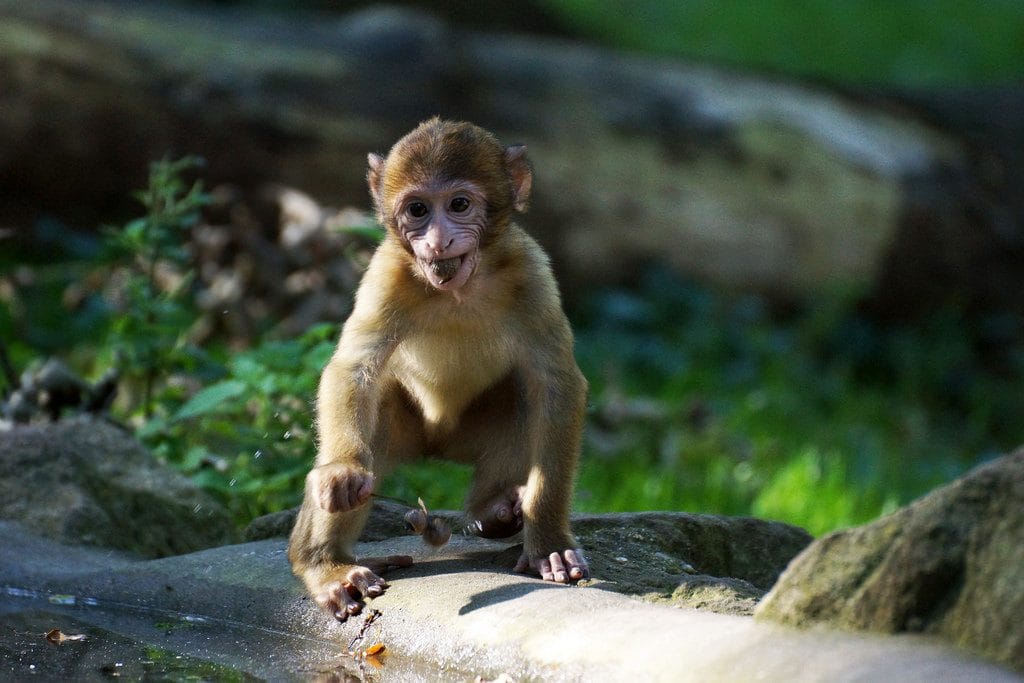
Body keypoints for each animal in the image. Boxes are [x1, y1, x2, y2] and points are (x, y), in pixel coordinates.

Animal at [288, 118, 589, 621]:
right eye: (417, 210)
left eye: (459, 205)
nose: (436, 241)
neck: (459, 290)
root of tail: (436, 446)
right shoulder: (385, 272)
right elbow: (354, 369)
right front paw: (343, 472)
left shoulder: (531, 272)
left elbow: (556, 385)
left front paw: (547, 541)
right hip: (401, 429)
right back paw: (326, 568)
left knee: (522, 394)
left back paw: (495, 511)